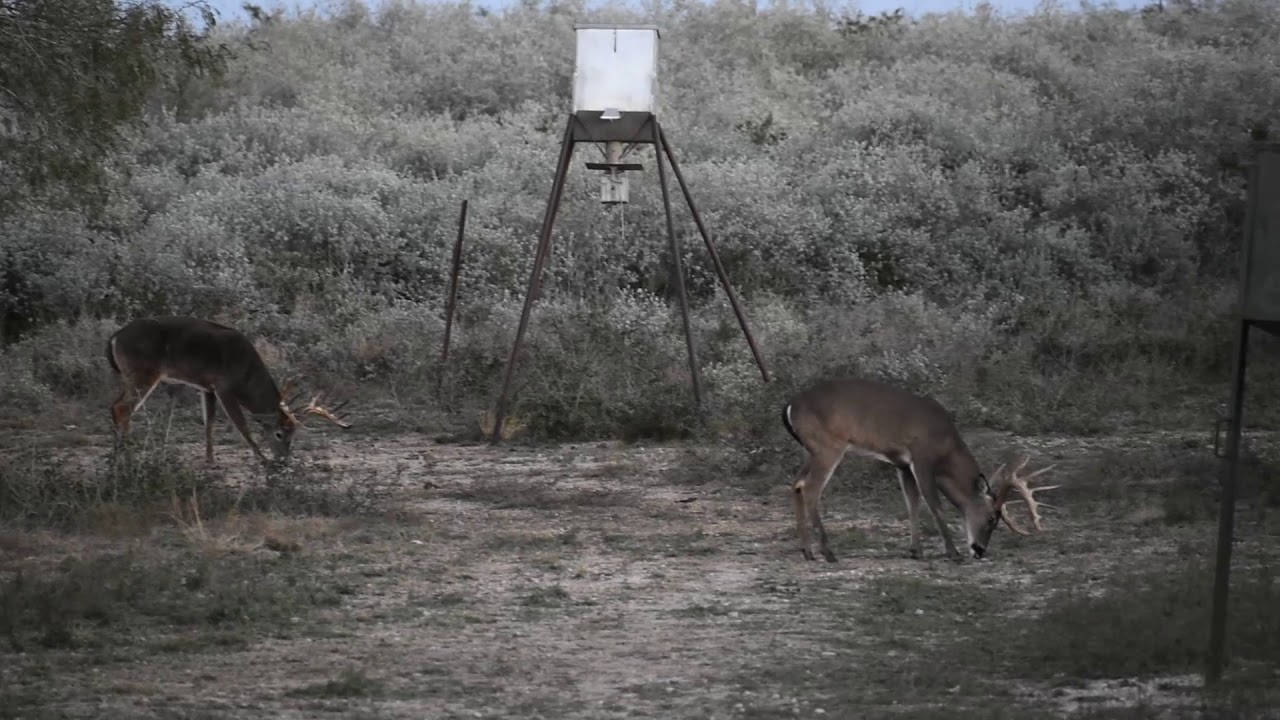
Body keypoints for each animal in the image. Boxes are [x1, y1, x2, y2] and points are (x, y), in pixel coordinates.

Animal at [107, 316, 352, 464]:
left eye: (294, 434)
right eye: (279, 434)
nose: (283, 459)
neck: (246, 371)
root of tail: (115, 337)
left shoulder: (207, 386)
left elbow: (209, 423)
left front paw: (210, 460)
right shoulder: (224, 386)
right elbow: (242, 426)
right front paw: (262, 460)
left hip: (130, 376)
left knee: (115, 405)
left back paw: (119, 452)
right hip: (144, 372)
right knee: (122, 408)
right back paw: (127, 454)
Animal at [781, 377, 1057, 563]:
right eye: (992, 519)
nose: (979, 551)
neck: (947, 444)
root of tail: (790, 406)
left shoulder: (901, 463)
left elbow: (912, 502)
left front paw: (916, 550)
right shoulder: (922, 458)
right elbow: (935, 504)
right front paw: (953, 553)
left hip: (812, 450)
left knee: (796, 484)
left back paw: (807, 551)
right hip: (829, 447)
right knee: (811, 489)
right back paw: (828, 552)